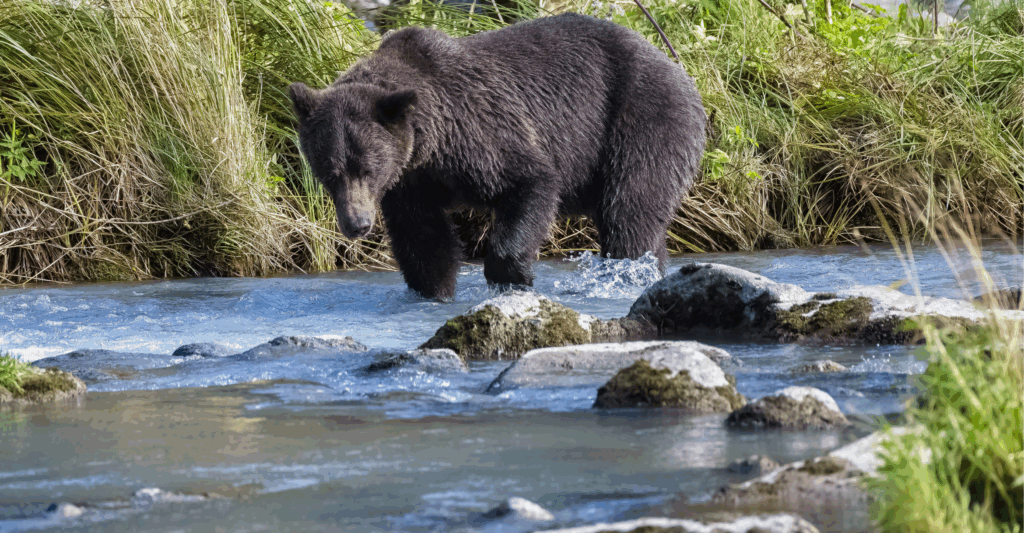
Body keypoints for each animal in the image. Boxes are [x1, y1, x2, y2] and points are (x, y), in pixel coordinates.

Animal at [290, 13, 706, 300]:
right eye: (329, 171)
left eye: (367, 168)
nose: (357, 224)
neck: (431, 144)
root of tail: (676, 66)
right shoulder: (410, 183)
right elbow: (424, 240)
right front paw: (434, 290)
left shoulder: (479, 132)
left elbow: (531, 181)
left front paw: (515, 276)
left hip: (641, 118)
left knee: (629, 210)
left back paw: (626, 273)